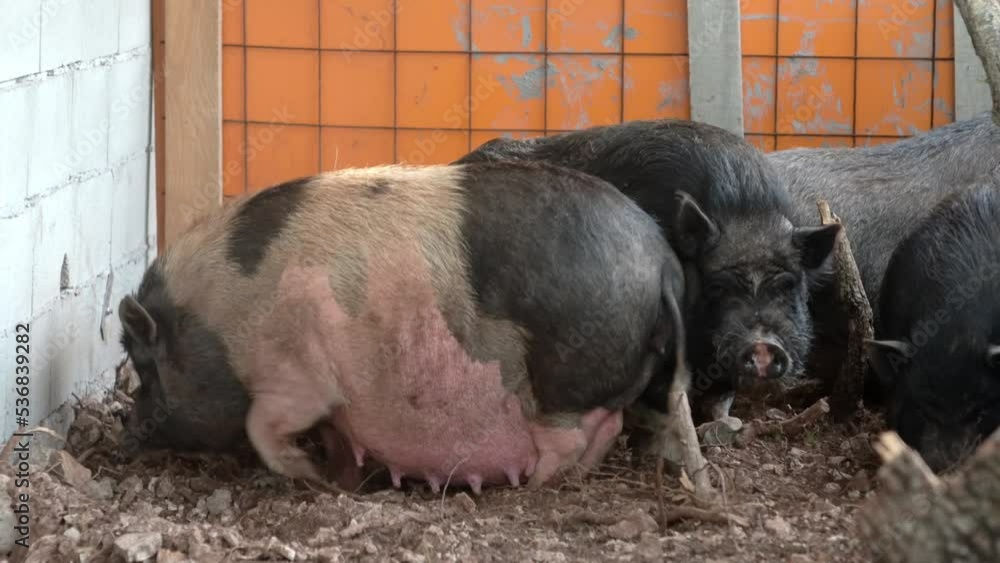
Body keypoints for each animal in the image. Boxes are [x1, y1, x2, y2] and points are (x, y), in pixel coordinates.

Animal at [116, 160, 686, 494]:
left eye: (145, 368)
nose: (127, 426)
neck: (217, 319)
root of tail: (661, 259)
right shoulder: (332, 407)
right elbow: (337, 437)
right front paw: (343, 481)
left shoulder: (296, 376)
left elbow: (265, 426)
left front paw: (309, 475)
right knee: (607, 426)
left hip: (562, 376)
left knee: (569, 437)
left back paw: (526, 491)